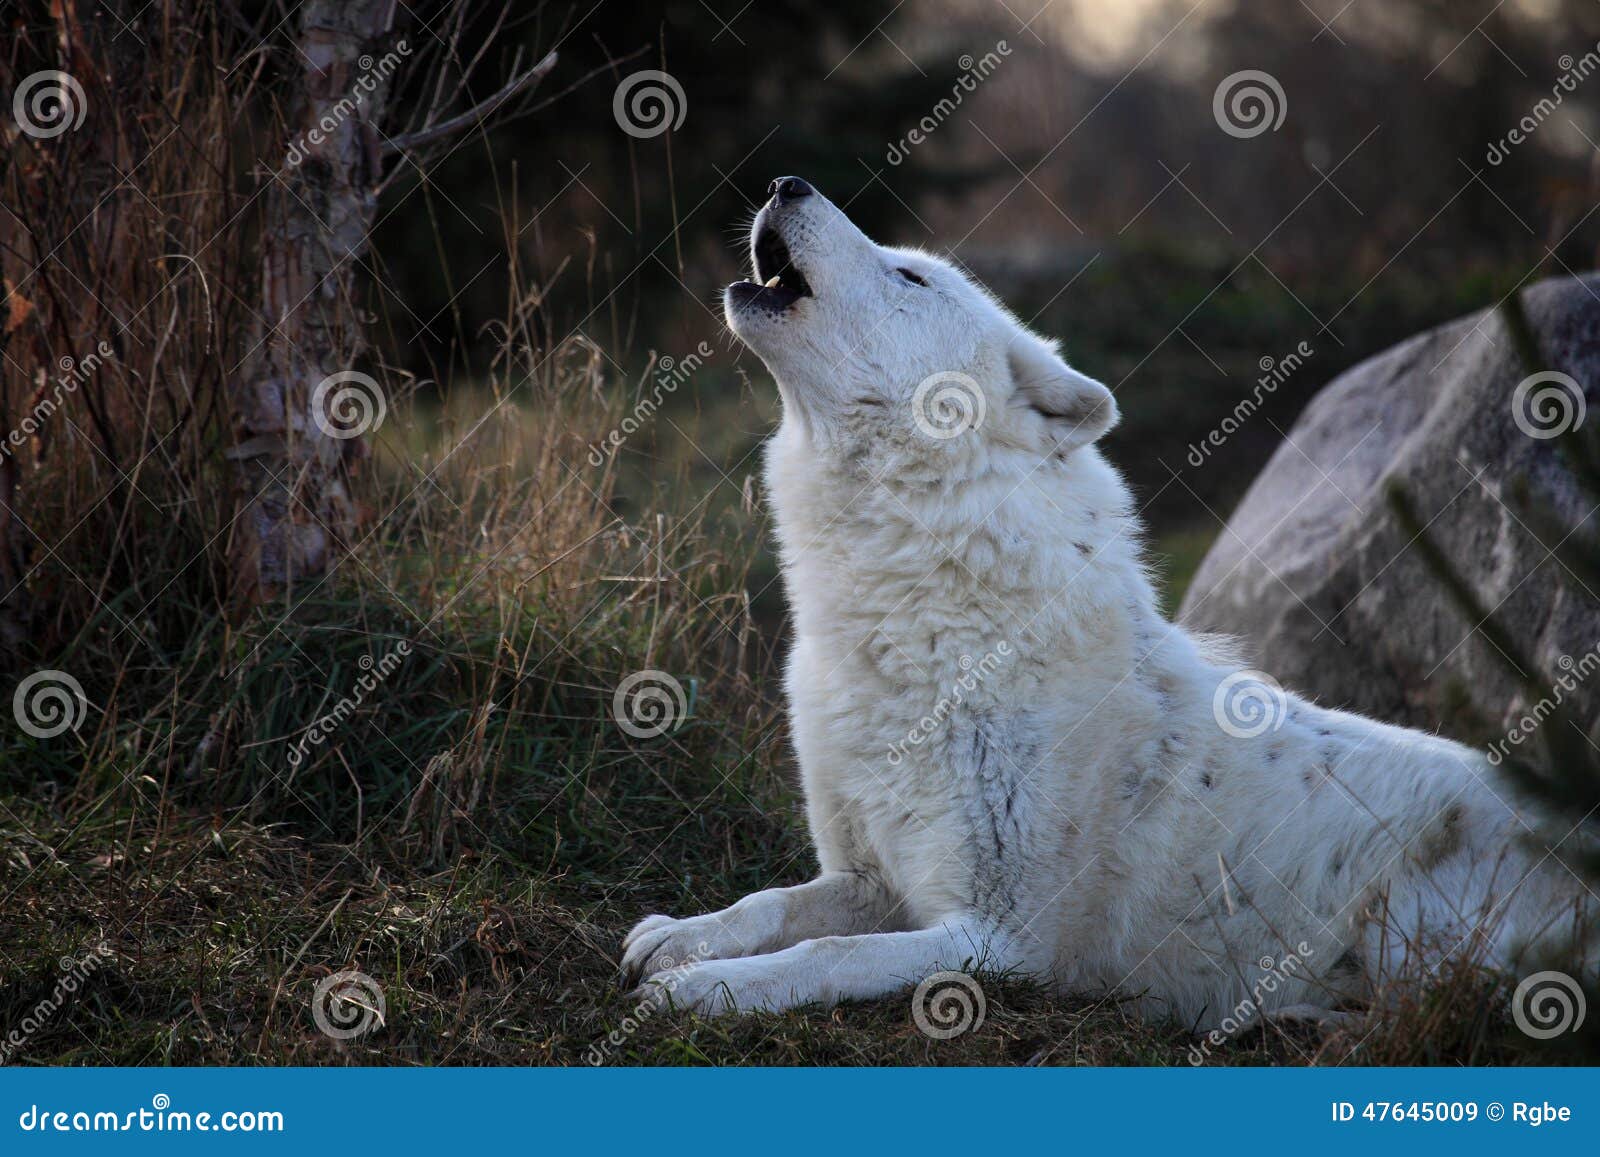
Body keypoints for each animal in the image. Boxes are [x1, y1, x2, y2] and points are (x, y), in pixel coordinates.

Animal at [621, 176, 1595, 1031]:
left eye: (910, 276)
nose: (785, 183)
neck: (913, 624)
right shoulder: (867, 876)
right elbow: (770, 902)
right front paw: (678, 938)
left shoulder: (999, 938)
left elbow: (825, 956)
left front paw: (702, 988)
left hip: (1409, 918)